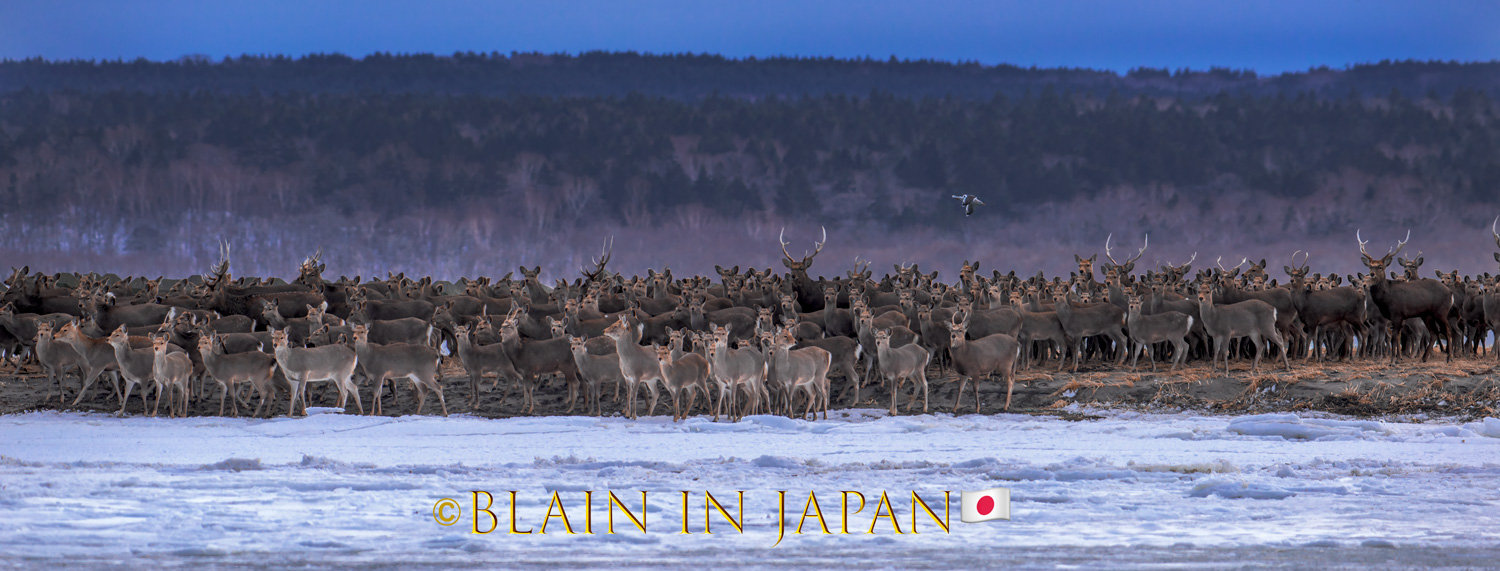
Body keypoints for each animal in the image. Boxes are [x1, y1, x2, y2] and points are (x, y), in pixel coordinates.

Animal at [1358, 230, 1457, 362]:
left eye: (1380, 267)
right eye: (1370, 266)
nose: (1372, 274)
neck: (1386, 297)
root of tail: (1450, 293)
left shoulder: (1397, 314)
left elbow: (1395, 338)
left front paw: (1393, 361)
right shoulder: (1393, 318)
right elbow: (1397, 337)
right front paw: (1397, 358)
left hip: (1441, 311)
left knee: (1447, 330)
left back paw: (1449, 358)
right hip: (1427, 315)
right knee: (1434, 333)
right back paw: (1424, 358)